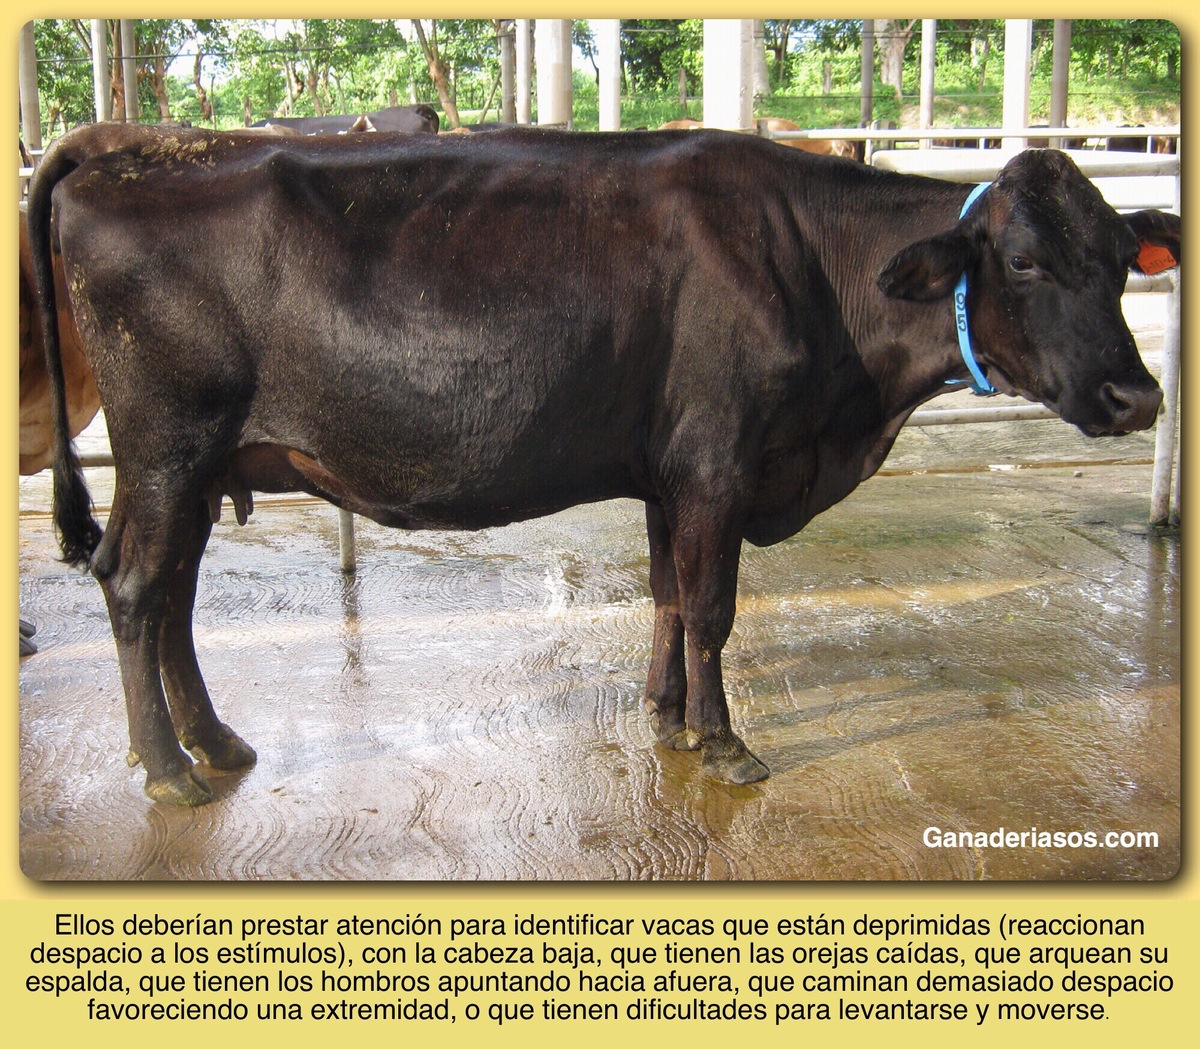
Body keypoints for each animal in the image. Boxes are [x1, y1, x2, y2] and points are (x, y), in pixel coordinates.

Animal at [28, 123, 1178, 806]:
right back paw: (170, 768)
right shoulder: (720, 460)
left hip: (192, 463)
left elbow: (668, 595)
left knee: (170, 593)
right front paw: (724, 740)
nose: (1139, 396)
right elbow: (712, 606)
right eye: (1022, 261)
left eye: (1125, 258)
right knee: (134, 583)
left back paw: (216, 741)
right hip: (170, 445)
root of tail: (122, 146)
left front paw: (667, 717)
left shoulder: (673, 471)